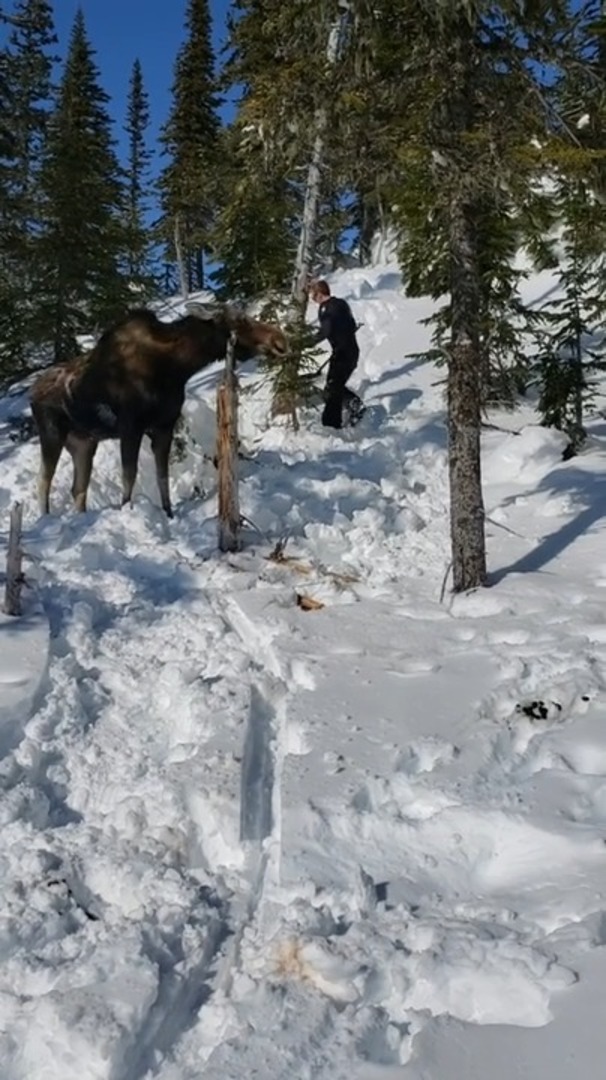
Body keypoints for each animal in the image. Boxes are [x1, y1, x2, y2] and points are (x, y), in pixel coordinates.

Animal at [29, 302, 288, 518]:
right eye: (239, 319)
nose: (279, 339)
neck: (176, 368)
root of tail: (32, 392)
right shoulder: (131, 426)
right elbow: (129, 475)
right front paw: (127, 509)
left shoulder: (164, 425)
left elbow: (162, 475)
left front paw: (168, 513)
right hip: (51, 433)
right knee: (43, 480)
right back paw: (44, 519)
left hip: (84, 442)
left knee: (78, 489)